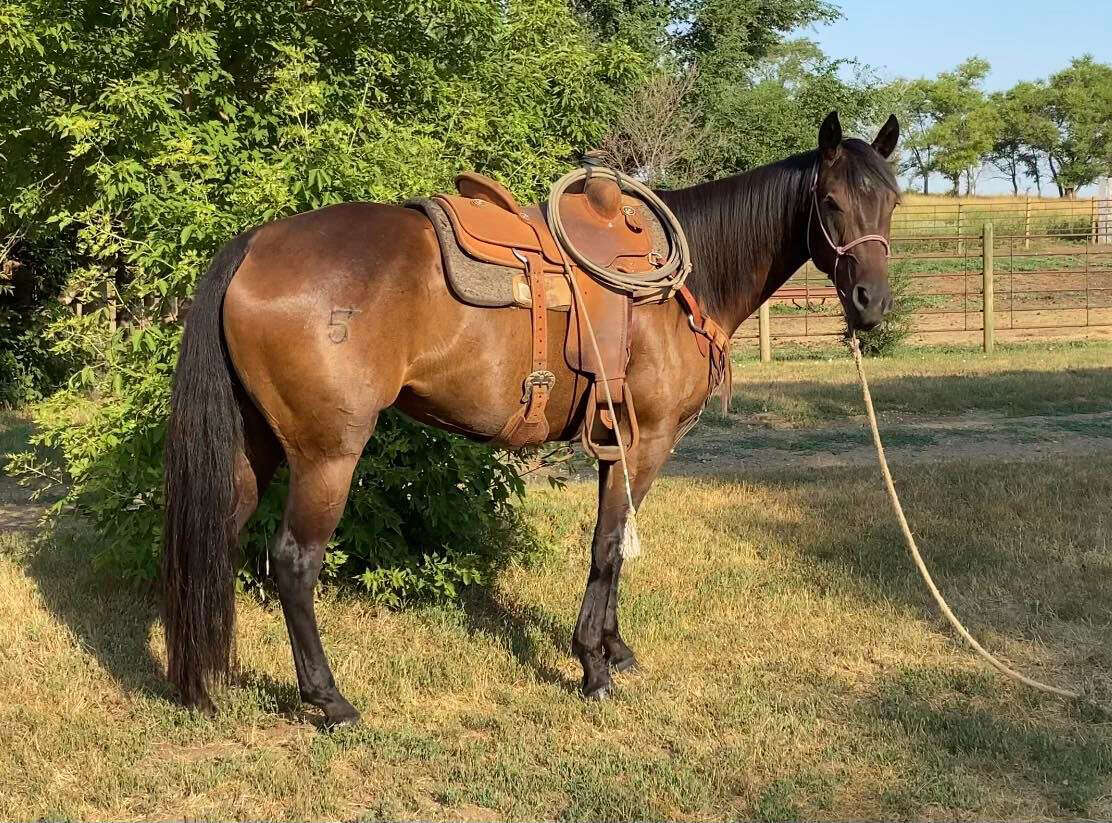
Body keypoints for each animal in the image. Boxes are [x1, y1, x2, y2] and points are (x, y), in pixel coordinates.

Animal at [162, 110, 901, 726]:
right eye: (831, 202)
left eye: (891, 200)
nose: (871, 302)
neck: (679, 289)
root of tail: (255, 245)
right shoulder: (647, 439)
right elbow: (608, 546)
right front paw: (594, 667)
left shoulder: (618, 445)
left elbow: (614, 542)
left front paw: (615, 647)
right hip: (327, 454)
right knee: (292, 560)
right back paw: (329, 700)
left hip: (255, 447)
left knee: (220, 537)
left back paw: (204, 683)